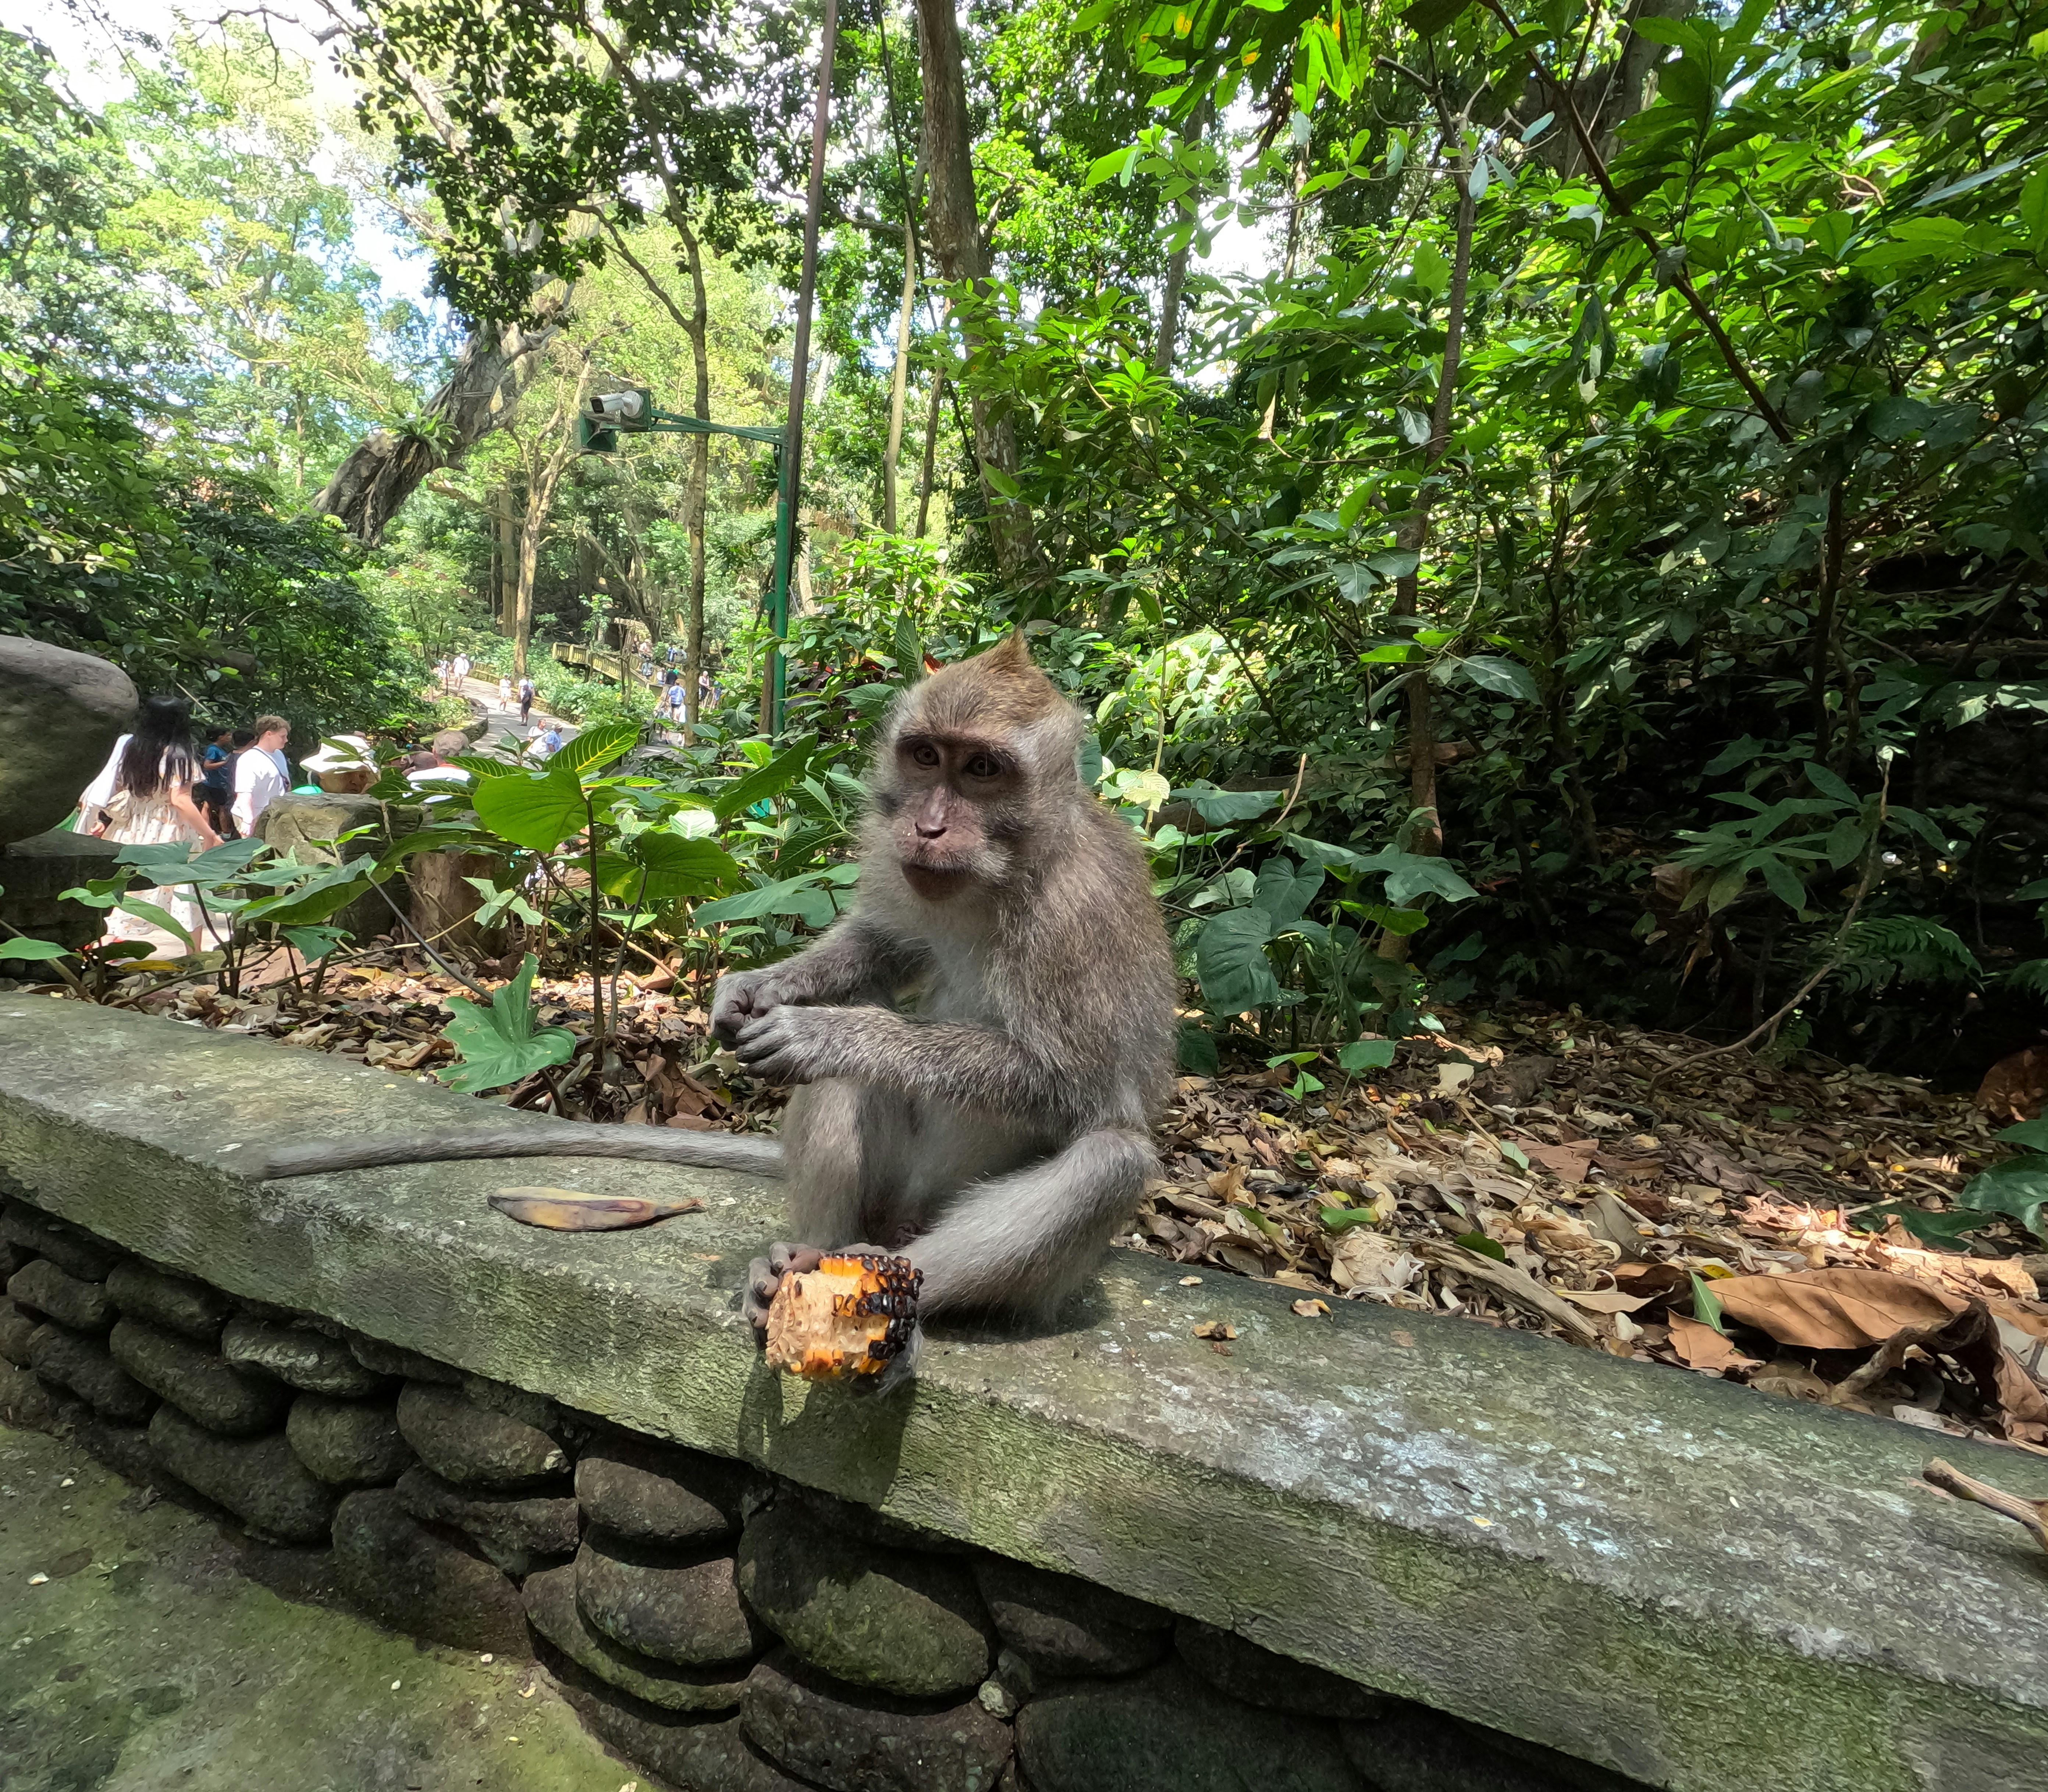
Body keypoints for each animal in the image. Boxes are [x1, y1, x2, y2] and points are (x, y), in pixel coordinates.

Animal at [258, 634, 1177, 1370]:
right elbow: (881, 946)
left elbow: (1078, 1085)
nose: (929, 828)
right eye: (926, 758)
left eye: (983, 771)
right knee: (841, 1096)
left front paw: (831, 1030)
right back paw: (798, 1267)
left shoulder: (1077, 916)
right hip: (887, 1207)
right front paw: (758, 990)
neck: (1001, 878)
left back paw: (902, 1299)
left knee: (1109, 1160)